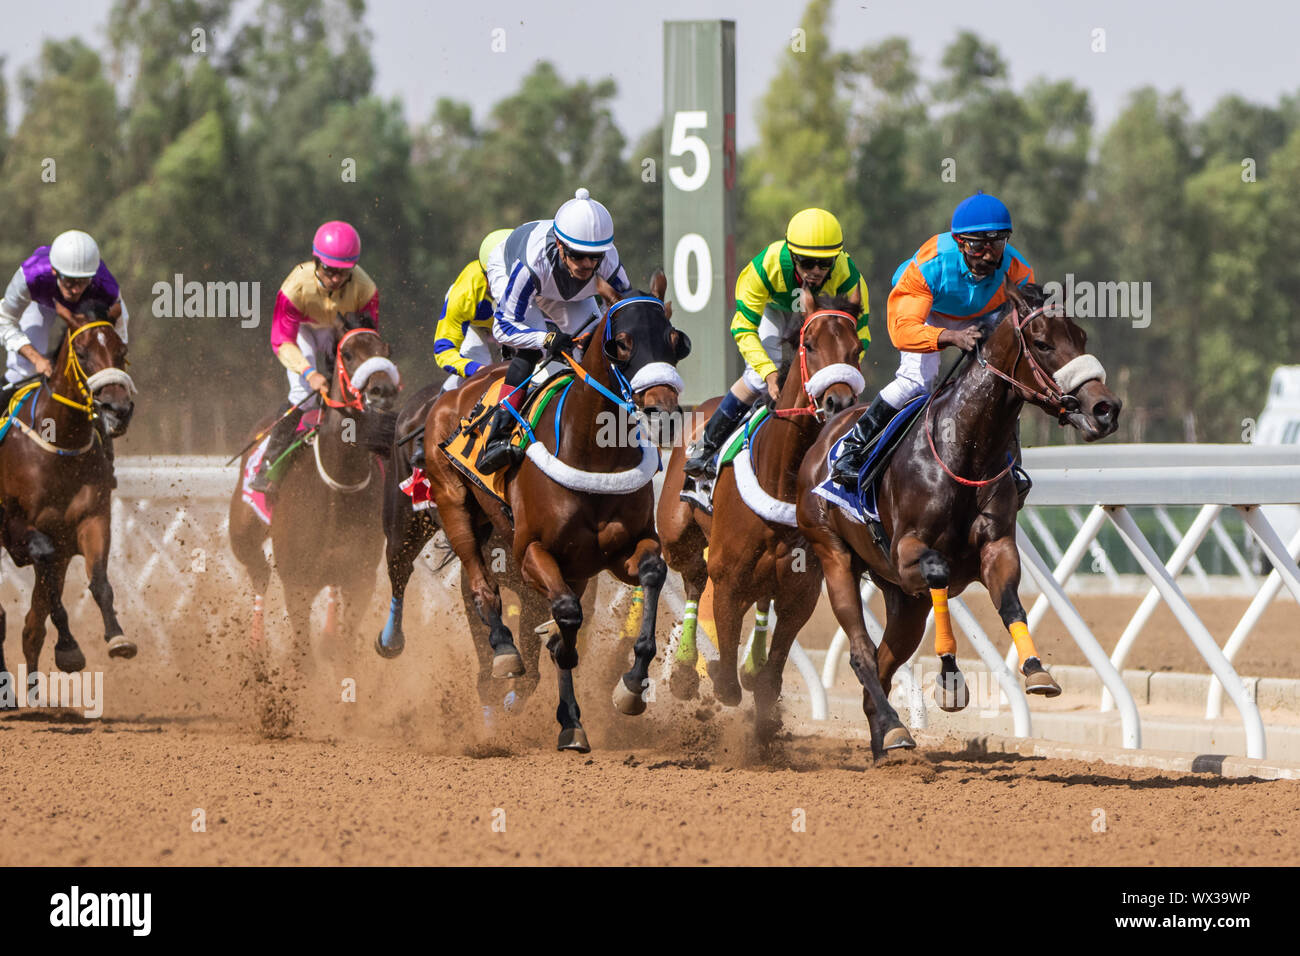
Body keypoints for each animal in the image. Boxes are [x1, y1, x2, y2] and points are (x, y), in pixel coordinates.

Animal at [0, 298, 136, 686]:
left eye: (121, 351)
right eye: (83, 351)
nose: (118, 409)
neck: (59, 444)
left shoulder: (90, 520)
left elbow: (99, 581)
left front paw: (116, 637)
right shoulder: (17, 529)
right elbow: (46, 572)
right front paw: (70, 648)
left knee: (30, 629)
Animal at [228, 312, 400, 675]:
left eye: (386, 350)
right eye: (347, 354)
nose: (382, 390)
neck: (336, 486)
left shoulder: (360, 580)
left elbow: (347, 651)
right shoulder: (297, 585)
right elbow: (302, 658)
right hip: (243, 535)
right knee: (259, 575)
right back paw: (256, 650)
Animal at [425, 270, 690, 752]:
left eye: (674, 340)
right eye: (621, 343)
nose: (661, 414)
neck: (595, 455)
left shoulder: (620, 551)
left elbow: (651, 575)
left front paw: (629, 687)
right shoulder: (532, 551)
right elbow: (566, 618)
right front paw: (552, 648)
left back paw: (571, 720)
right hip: (454, 502)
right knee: (480, 585)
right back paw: (504, 651)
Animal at [658, 286, 864, 733]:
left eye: (856, 349)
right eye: (809, 344)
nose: (838, 401)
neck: (780, 478)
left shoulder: (802, 592)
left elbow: (770, 676)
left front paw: (764, 710)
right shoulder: (728, 580)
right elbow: (727, 681)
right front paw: (714, 674)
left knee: (761, 600)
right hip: (676, 536)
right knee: (693, 579)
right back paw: (684, 671)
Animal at [796, 282, 1122, 759]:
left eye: (1080, 337)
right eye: (1042, 343)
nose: (1105, 408)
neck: (965, 449)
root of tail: (825, 434)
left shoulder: (996, 546)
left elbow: (1010, 601)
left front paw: (1036, 670)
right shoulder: (907, 551)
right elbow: (938, 571)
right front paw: (950, 679)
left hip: (903, 600)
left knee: (885, 659)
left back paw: (886, 733)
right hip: (834, 555)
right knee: (861, 651)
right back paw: (892, 727)